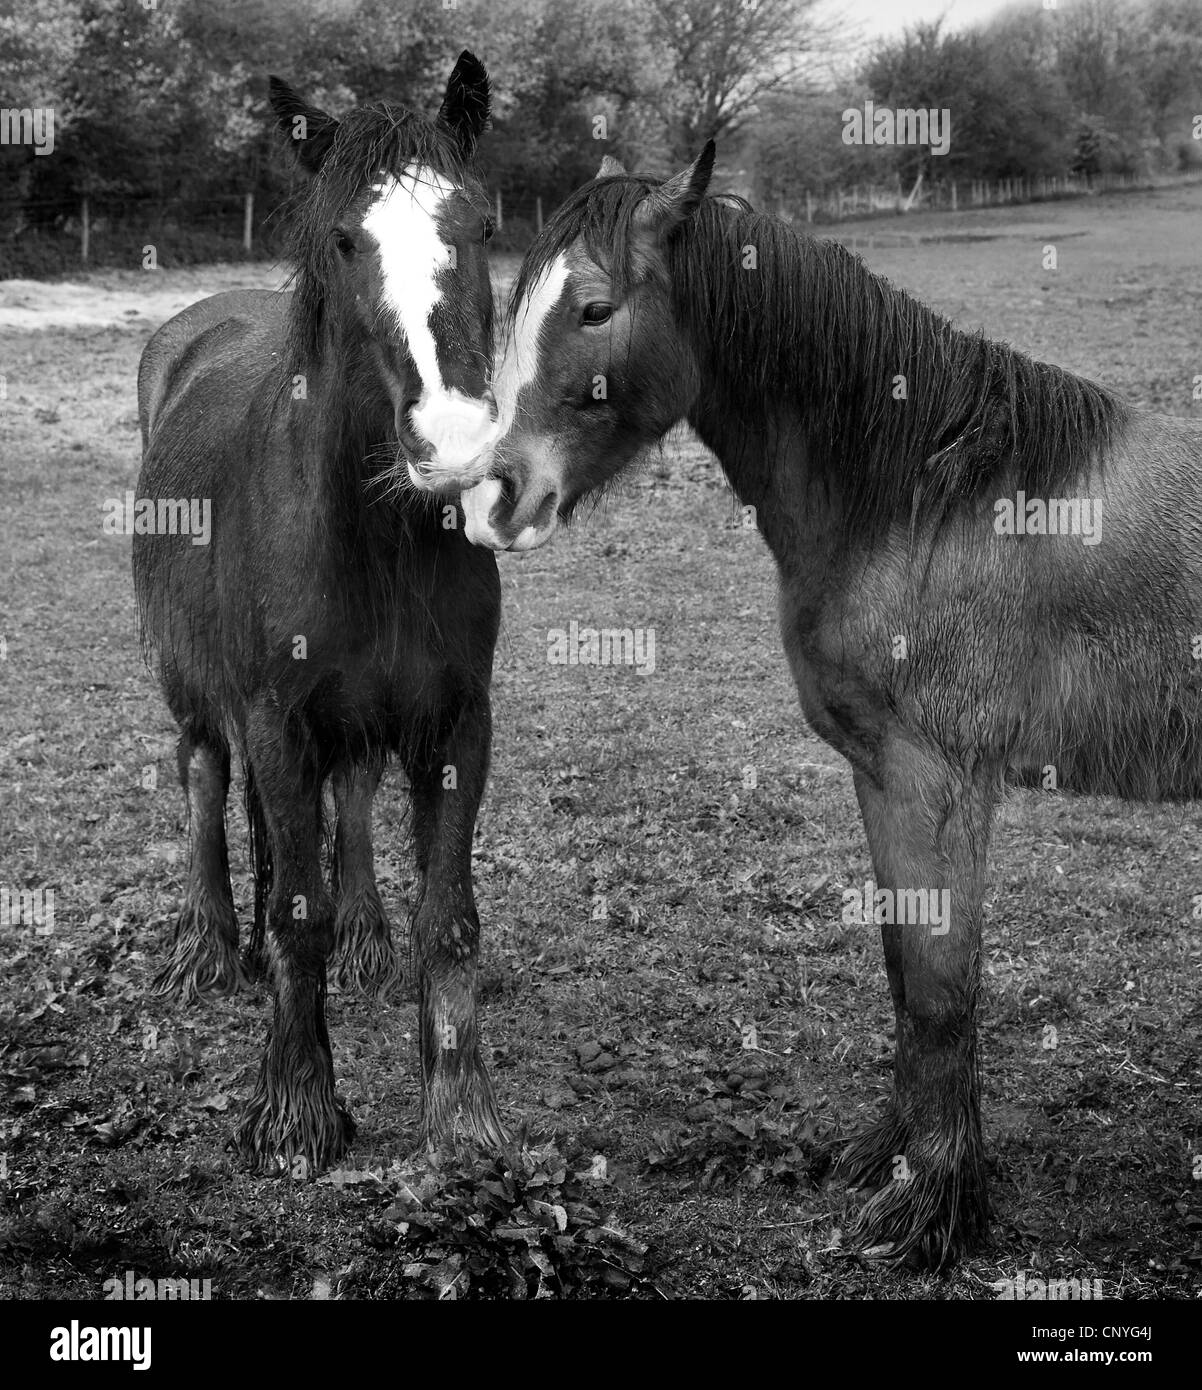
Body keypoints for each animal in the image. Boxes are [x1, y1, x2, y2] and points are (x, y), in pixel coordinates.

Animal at [133, 52, 506, 1173]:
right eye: (345, 240)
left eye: (481, 225)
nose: (454, 442)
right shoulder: (277, 719)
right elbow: (292, 912)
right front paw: (297, 1113)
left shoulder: (454, 721)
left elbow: (449, 921)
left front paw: (462, 1119)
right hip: (197, 691)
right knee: (204, 776)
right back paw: (211, 944)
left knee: (351, 797)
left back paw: (362, 938)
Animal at [458, 148, 1202, 1268]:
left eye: (592, 308)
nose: (495, 502)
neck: (928, 496)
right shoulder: (879, 776)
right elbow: (904, 972)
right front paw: (892, 1157)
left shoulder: (937, 780)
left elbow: (940, 987)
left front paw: (931, 1207)